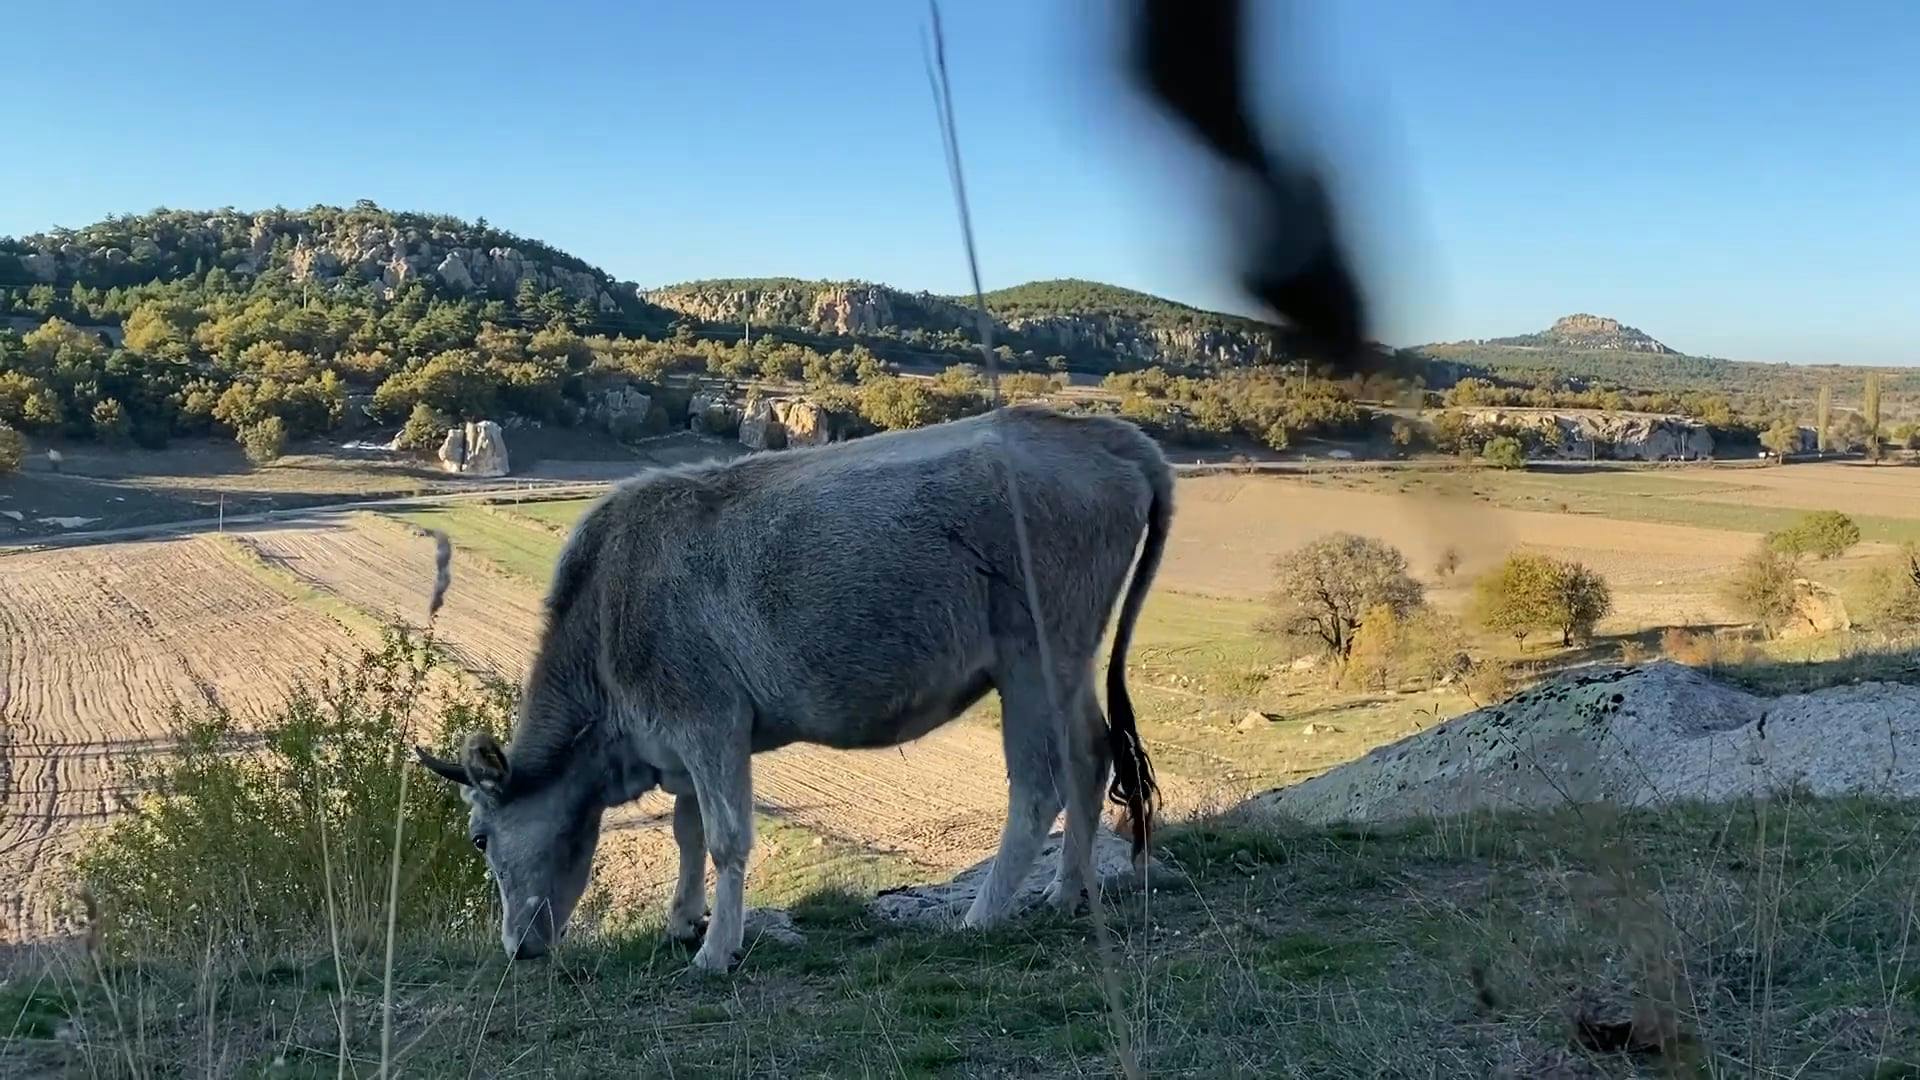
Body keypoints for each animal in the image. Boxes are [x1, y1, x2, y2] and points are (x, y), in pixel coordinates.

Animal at [416, 405, 1172, 971]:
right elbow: (688, 830)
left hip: (1031, 658)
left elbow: (725, 836)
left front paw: (715, 952)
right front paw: (683, 921)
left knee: (1039, 783)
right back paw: (1067, 891)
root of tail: (1101, 432)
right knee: (1091, 755)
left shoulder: (707, 719)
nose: (516, 949)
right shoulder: (683, 741)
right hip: (1068, 658)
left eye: (478, 839)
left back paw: (984, 914)